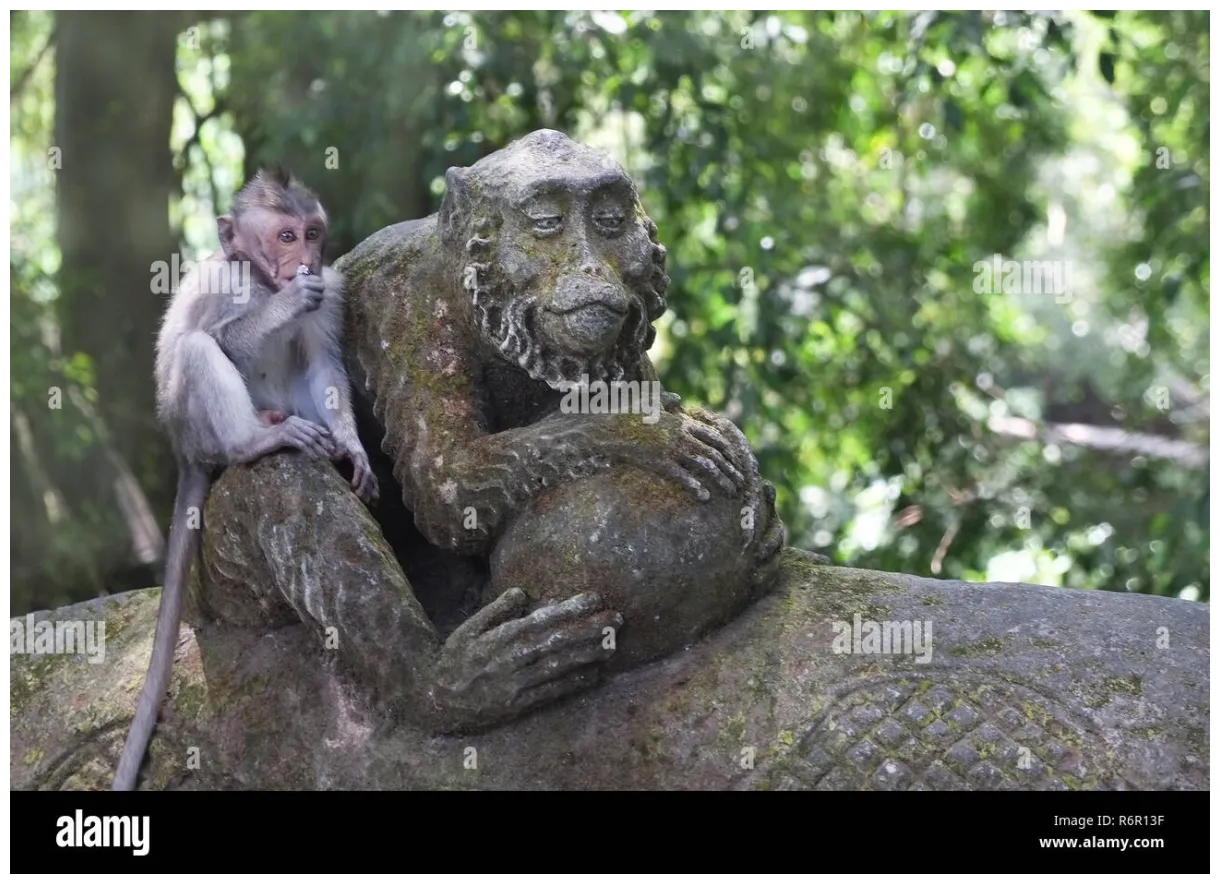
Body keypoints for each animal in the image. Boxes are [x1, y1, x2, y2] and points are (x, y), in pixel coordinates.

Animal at [112, 169, 377, 790]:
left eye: (311, 233)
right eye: (285, 235)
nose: (303, 259)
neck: (260, 279)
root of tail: (185, 453)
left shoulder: (331, 285)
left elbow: (322, 361)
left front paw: (354, 447)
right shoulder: (228, 281)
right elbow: (225, 339)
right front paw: (284, 306)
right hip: (195, 428)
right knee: (197, 347)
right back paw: (253, 442)